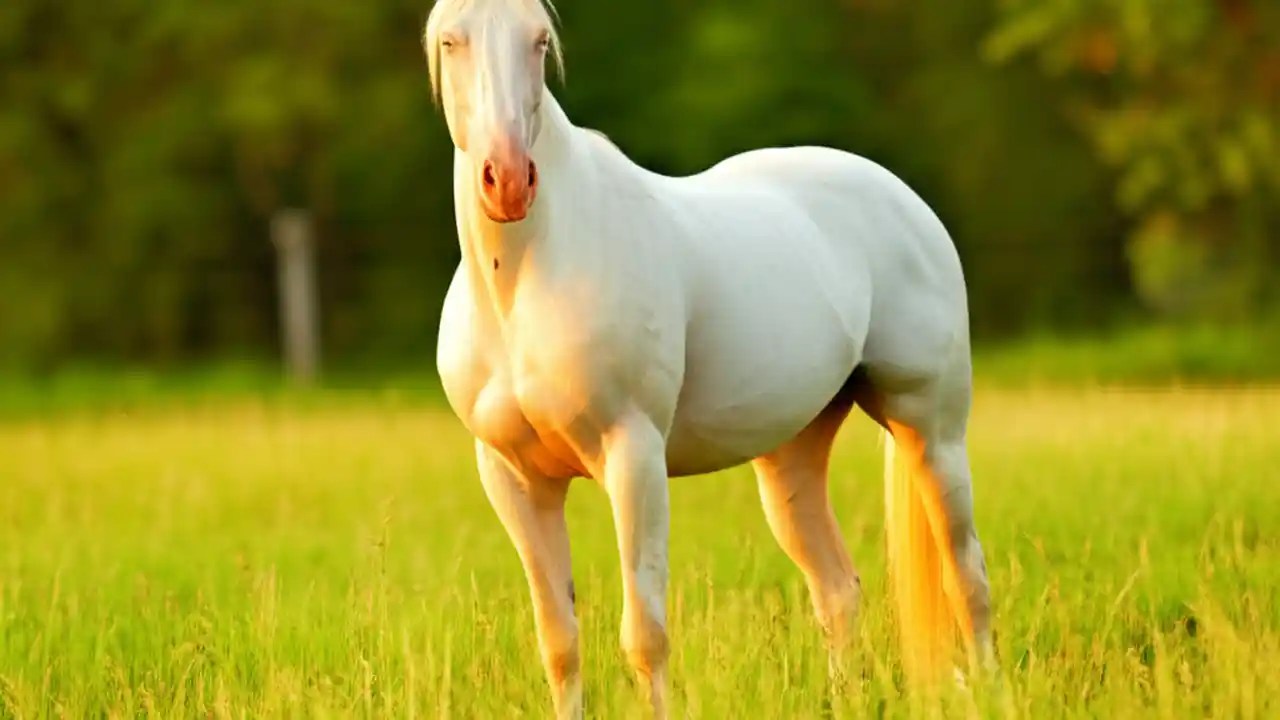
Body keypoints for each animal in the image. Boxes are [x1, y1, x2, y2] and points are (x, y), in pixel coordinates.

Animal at [423, 1, 994, 716]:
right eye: (452, 40)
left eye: (540, 42)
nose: (507, 181)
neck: (525, 280)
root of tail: (905, 200)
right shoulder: (514, 479)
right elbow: (559, 642)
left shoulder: (633, 456)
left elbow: (645, 636)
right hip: (792, 459)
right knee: (838, 591)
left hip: (931, 430)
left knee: (968, 579)